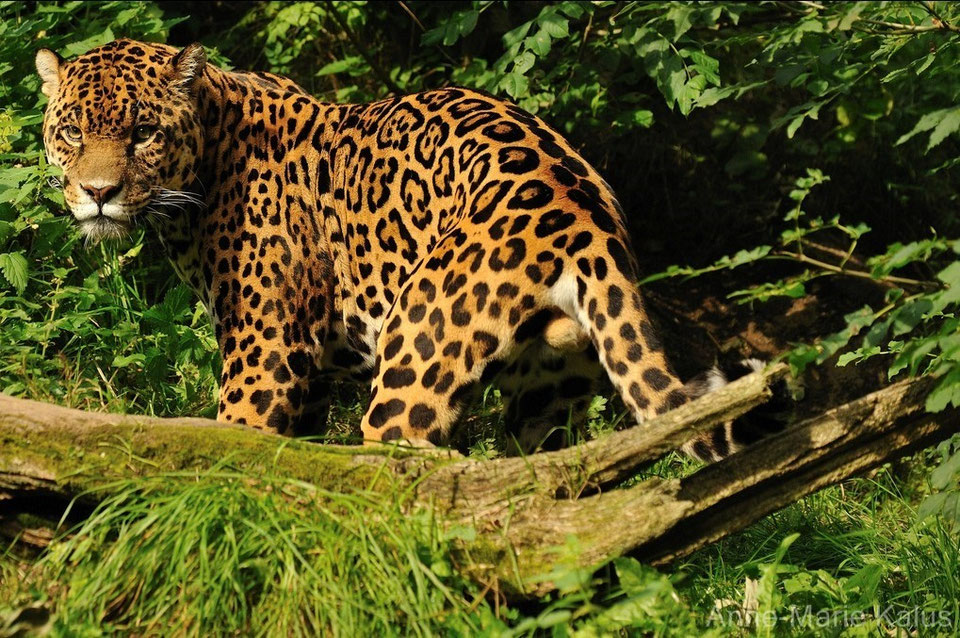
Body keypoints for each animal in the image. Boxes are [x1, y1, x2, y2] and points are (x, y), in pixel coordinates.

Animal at [36, 39, 782, 458]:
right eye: (71, 131)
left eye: (143, 133)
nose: (98, 193)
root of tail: (584, 215)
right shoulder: (309, 372)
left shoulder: (265, 348)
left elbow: (237, 448)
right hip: (549, 395)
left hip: (417, 356)